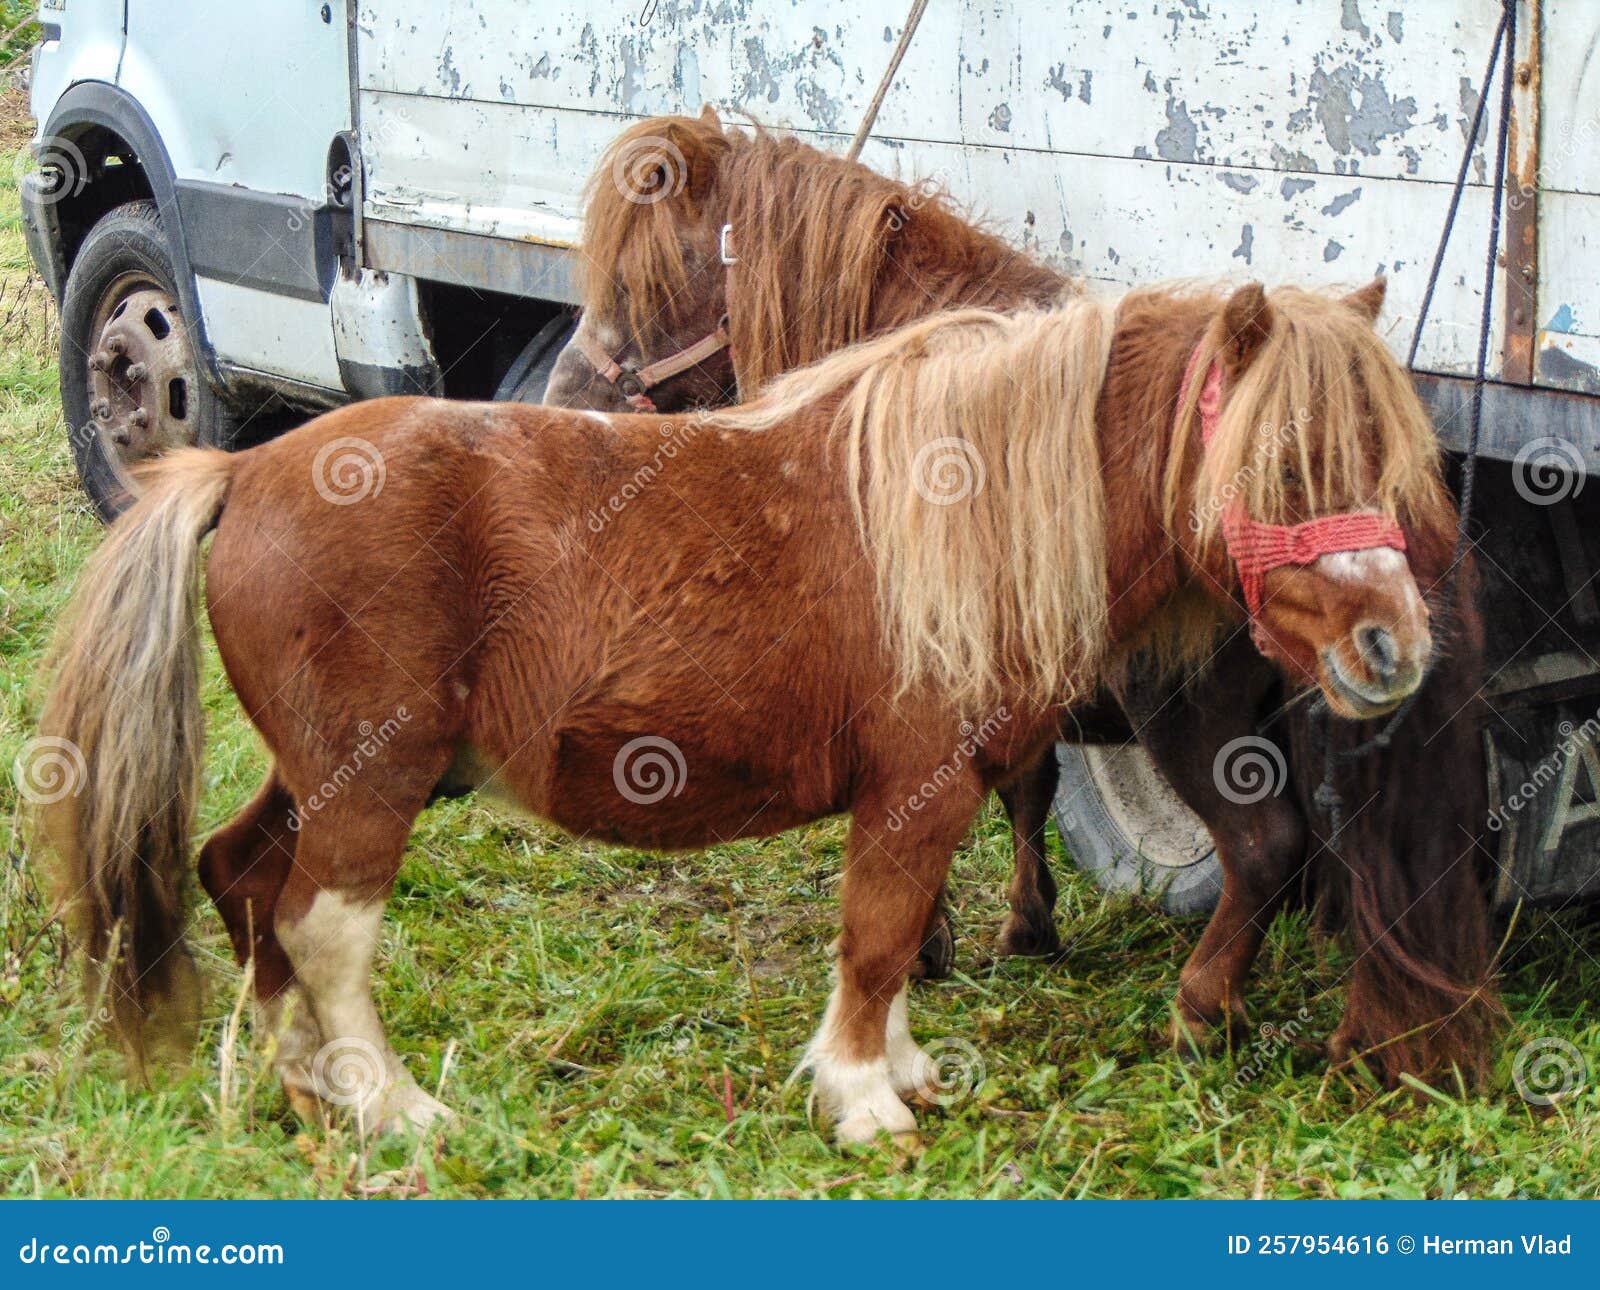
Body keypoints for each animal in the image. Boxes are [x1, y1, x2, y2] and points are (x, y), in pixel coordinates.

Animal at [38, 280, 1452, 1144]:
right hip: (374, 784)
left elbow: (897, 940)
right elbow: (876, 941)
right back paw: (391, 1108)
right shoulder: (917, 788)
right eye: (1285, 461)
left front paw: (899, 1071)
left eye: (1388, 459)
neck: (964, 507)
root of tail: (239, 469)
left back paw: (301, 1085)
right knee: (320, 929)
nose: (1395, 646)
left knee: (242, 877)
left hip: (330, 773)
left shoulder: (939, 796)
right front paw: (863, 1100)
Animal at [542, 110, 1500, 1082]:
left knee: (1264, 846)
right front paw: (1026, 921)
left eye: (643, 282)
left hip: (1189, 709)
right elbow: (1024, 790)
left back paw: (1202, 1009)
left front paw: (935, 944)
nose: (562, 396)